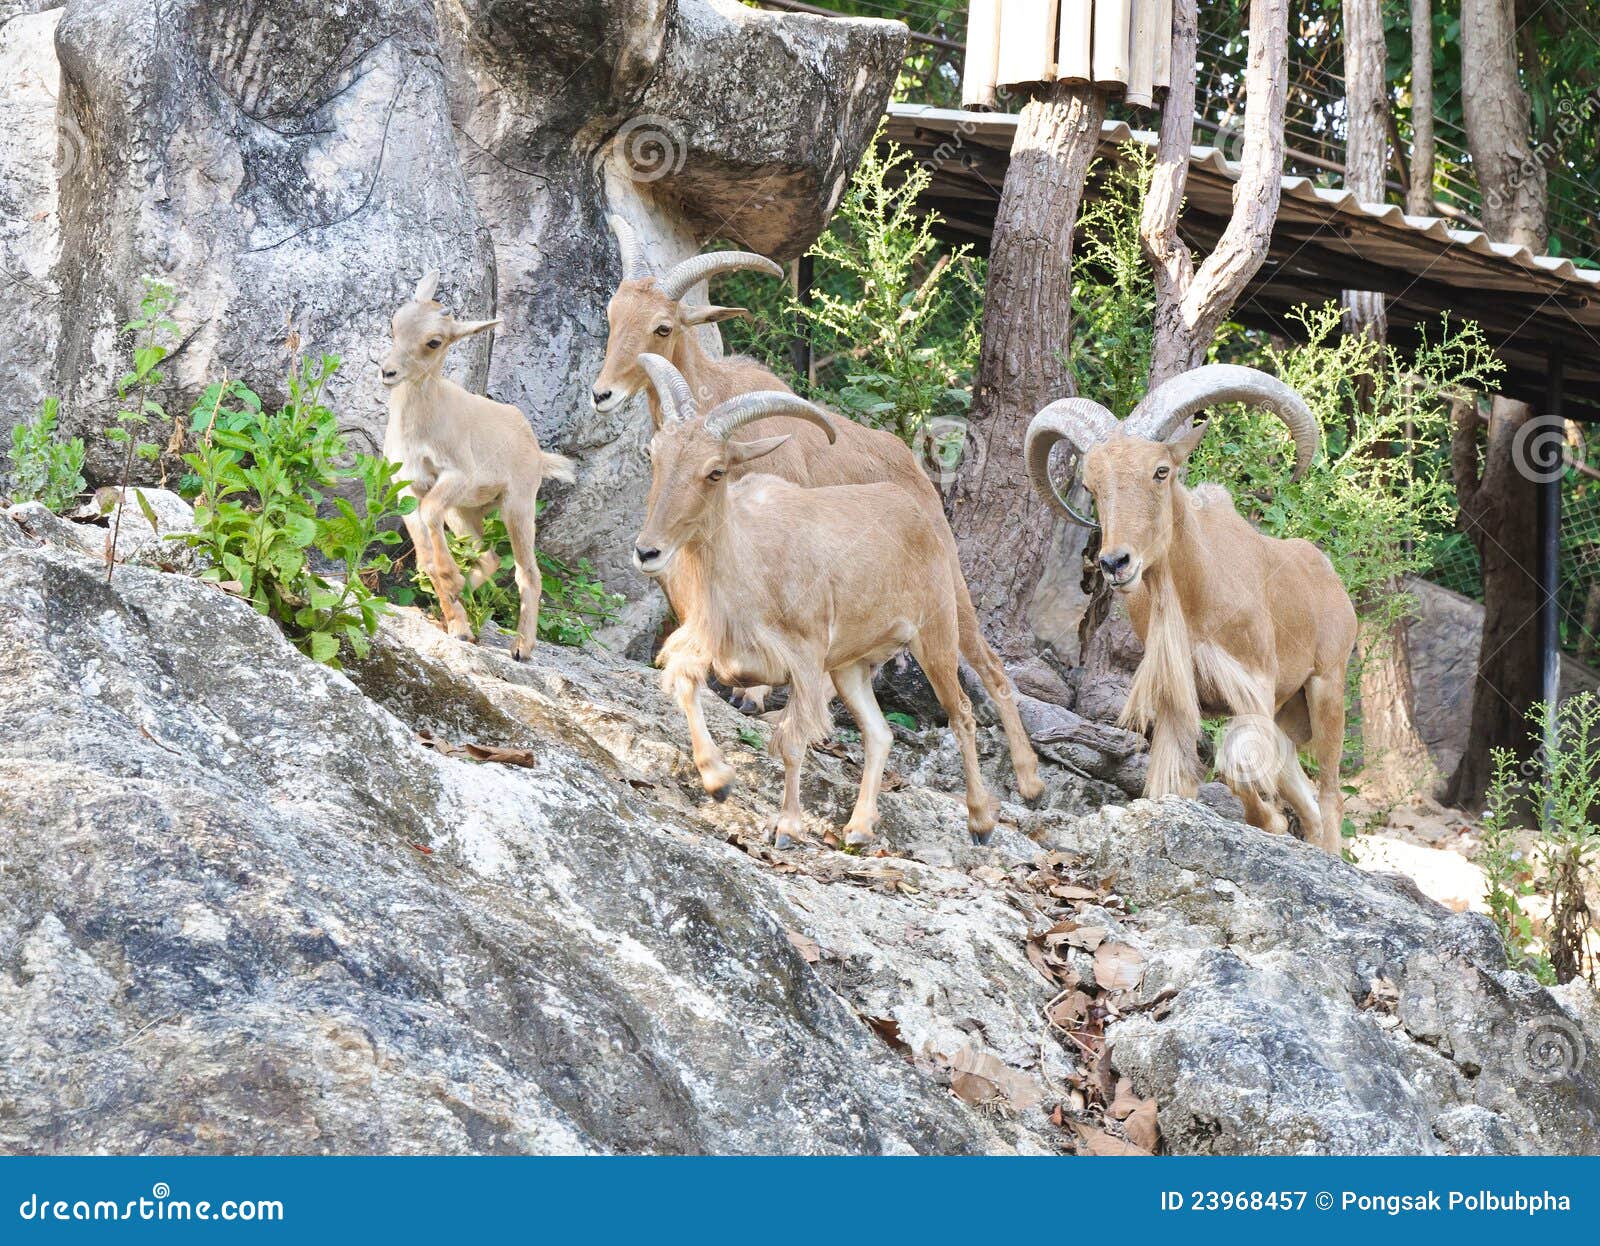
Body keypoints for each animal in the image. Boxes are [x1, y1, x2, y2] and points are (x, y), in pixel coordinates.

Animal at [381, 271, 575, 661]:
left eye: (434, 341)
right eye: (395, 322)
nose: (388, 372)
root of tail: (535, 446)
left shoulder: (456, 474)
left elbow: (429, 514)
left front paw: (451, 580)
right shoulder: (406, 486)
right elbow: (425, 552)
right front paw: (454, 614)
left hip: (518, 505)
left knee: (527, 571)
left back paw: (522, 646)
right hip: (464, 513)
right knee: (490, 558)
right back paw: (457, 610)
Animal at [633, 354, 999, 849]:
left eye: (715, 471)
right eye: (655, 456)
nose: (647, 551)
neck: (749, 560)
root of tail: (918, 509)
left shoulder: (805, 658)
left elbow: (791, 739)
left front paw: (787, 826)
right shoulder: (711, 645)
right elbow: (685, 683)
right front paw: (718, 780)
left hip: (936, 633)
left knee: (961, 713)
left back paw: (980, 820)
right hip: (850, 664)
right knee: (880, 732)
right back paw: (859, 827)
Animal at [1025, 365, 1357, 852]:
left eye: (1161, 471)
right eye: (1091, 484)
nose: (1115, 563)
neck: (1196, 597)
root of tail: (1328, 575)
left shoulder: (1253, 685)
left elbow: (1237, 763)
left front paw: (1270, 822)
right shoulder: (1178, 698)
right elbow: (1183, 777)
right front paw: (1269, 823)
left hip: (1326, 686)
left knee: (1330, 793)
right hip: (1287, 709)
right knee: (1307, 797)